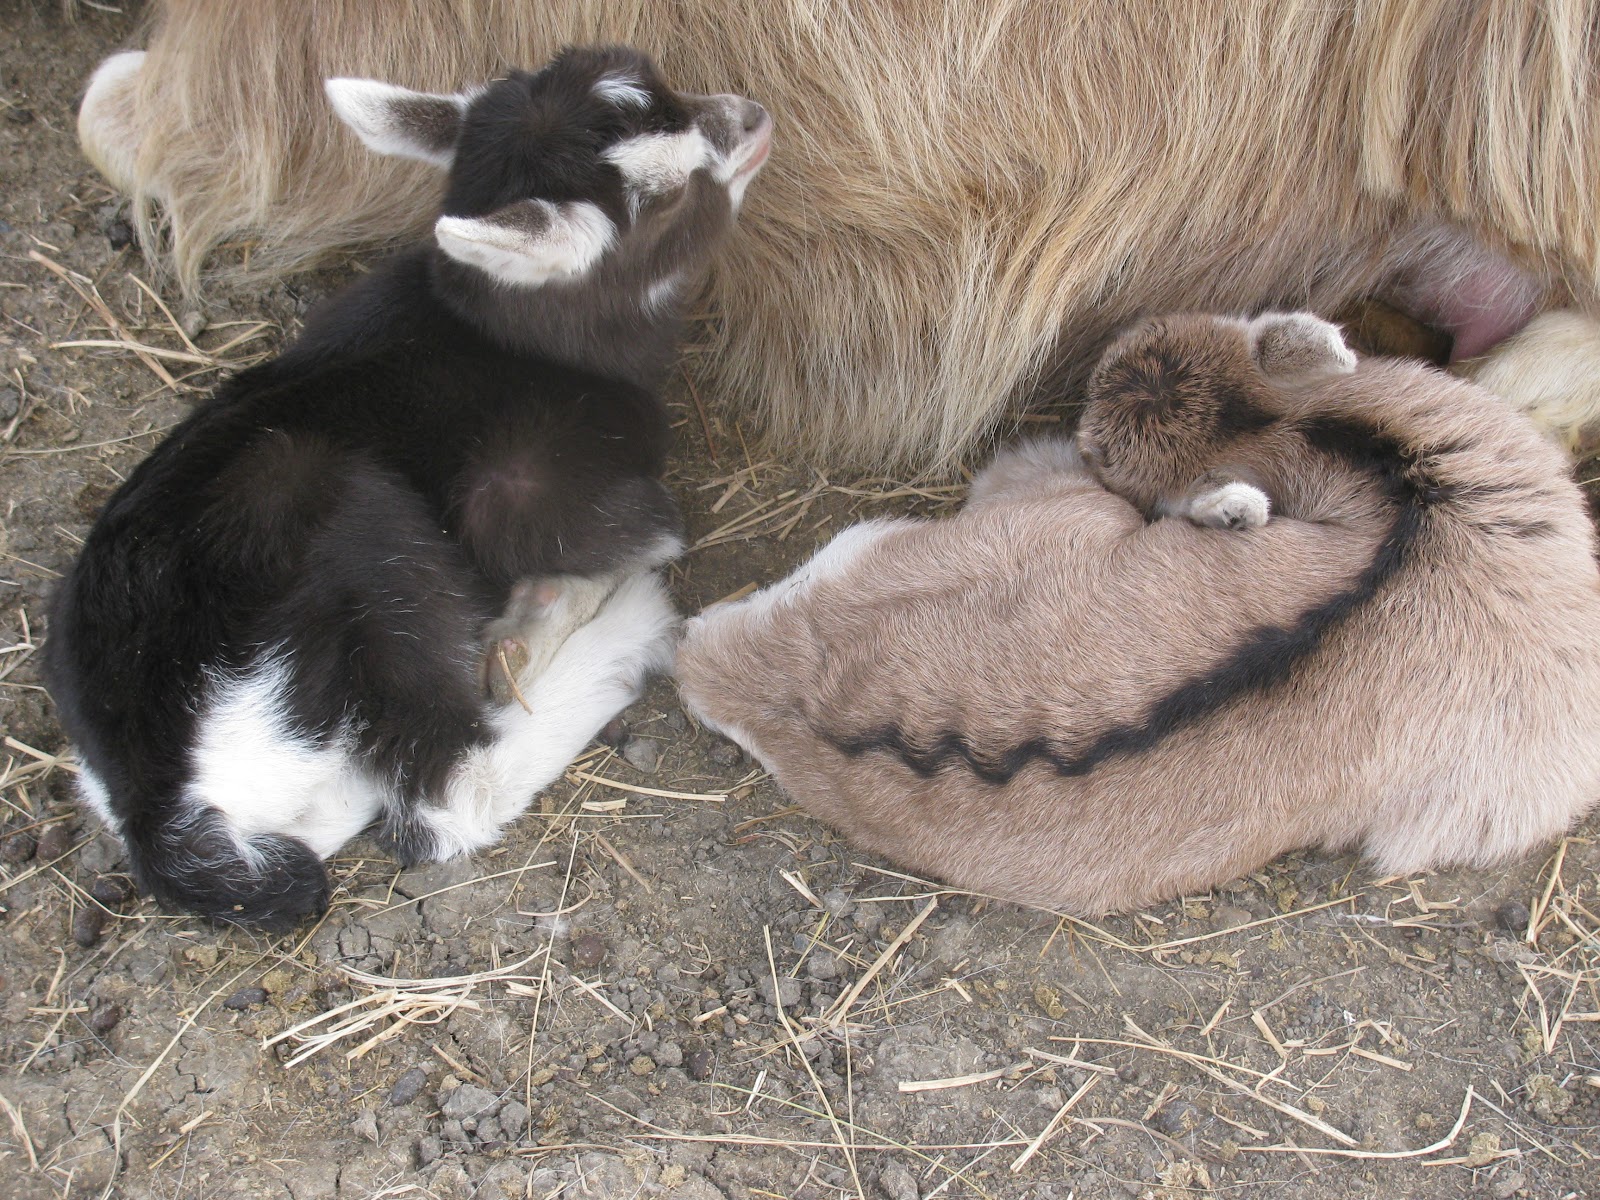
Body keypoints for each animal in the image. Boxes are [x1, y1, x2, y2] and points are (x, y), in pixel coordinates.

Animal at [44, 46, 772, 929]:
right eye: (663, 196)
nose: (752, 117)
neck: (506, 333)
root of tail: (158, 800)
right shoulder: (536, 488)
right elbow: (648, 532)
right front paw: (538, 622)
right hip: (367, 539)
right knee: (446, 795)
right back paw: (618, 637)